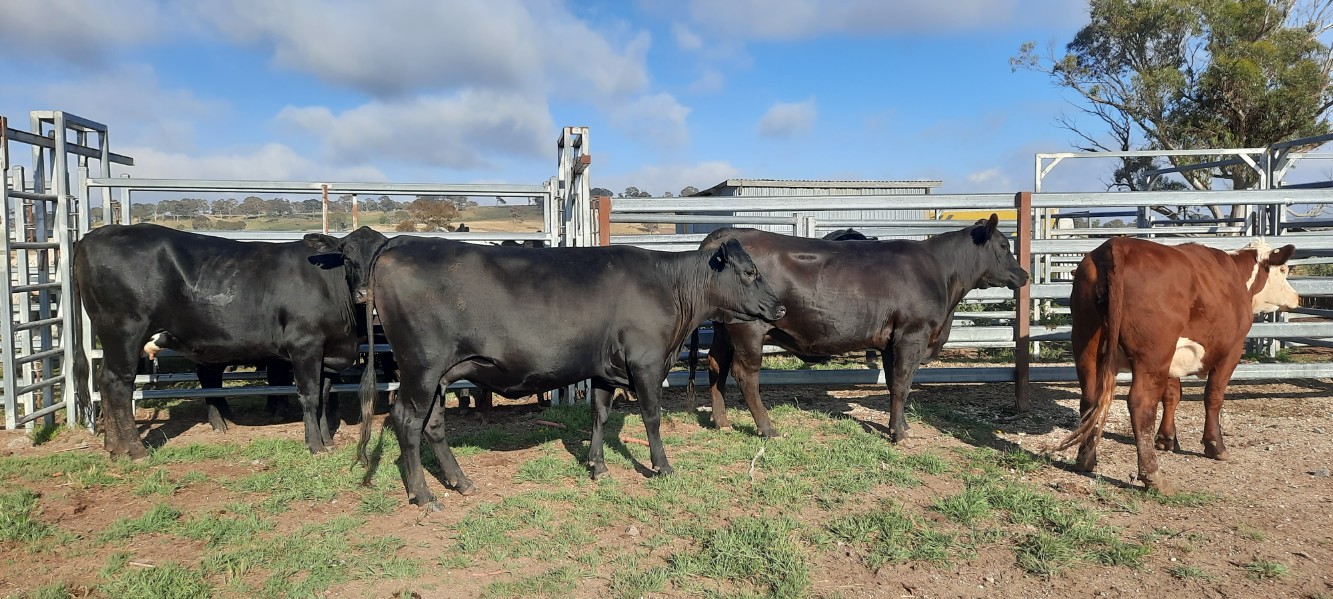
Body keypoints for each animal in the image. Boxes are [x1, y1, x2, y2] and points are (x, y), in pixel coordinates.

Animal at [72, 223, 361, 459]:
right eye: (347, 258)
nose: (364, 292)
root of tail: (95, 234)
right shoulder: (304, 347)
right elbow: (310, 395)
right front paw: (315, 445)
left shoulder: (328, 352)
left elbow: (324, 395)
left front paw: (327, 441)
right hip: (124, 332)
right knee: (118, 383)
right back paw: (135, 449)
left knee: (104, 380)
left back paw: (114, 446)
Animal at [304, 227, 786, 509]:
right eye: (748, 272)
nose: (779, 308)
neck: (672, 287)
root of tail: (398, 243)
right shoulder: (646, 362)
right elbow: (651, 416)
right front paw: (662, 467)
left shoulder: (605, 367)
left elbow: (600, 414)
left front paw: (598, 467)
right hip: (420, 367)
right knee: (407, 421)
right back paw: (422, 495)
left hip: (438, 373)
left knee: (433, 425)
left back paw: (460, 482)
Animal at [688, 215, 1028, 442]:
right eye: (1003, 245)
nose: (1024, 275)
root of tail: (728, 233)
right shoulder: (912, 335)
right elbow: (903, 384)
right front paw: (898, 434)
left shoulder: (892, 340)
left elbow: (892, 383)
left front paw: (901, 425)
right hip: (748, 328)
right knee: (744, 375)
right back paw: (768, 428)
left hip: (724, 328)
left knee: (716, 364)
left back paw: (722, 422)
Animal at [1054, 237, 1298, 494]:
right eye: (1283, 270)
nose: (1297, 297)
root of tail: (1116, 245)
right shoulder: (1231, 351)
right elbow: (1213, 397)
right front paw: (1215, 445)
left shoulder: (1172, 359)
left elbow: (1172, 395)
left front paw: (1166, 438)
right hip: (1152, 355)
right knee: (1141, 405)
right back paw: (1153, 476)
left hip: (1086, 344)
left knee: (1090, 399)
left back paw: (1085, 459)